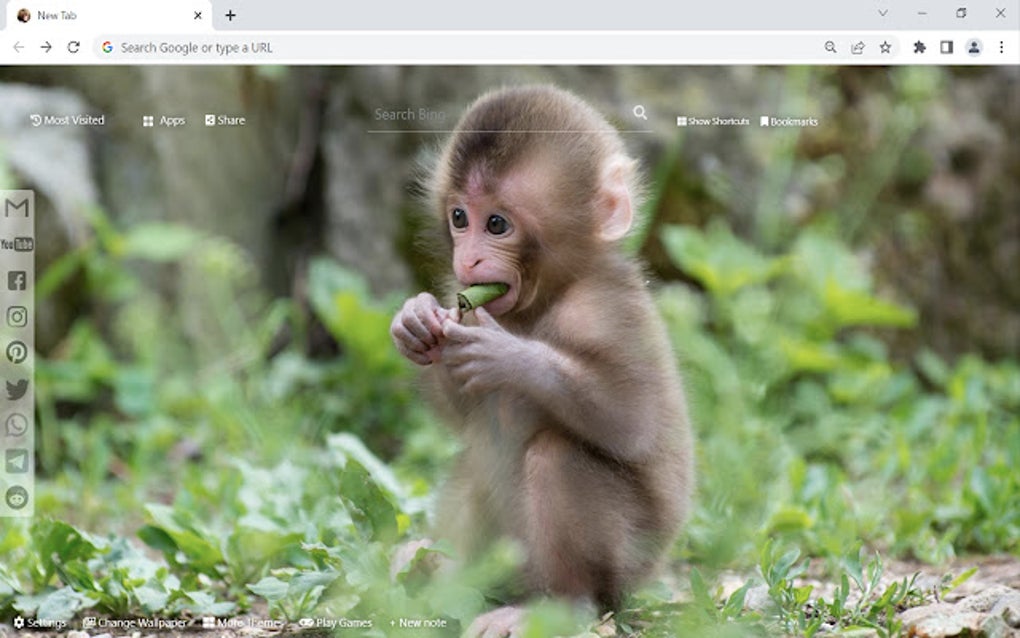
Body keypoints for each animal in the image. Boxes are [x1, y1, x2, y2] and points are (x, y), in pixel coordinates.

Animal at [390, 85, 694, 636]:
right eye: (459, 218)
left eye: (497, 224)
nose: (467, 259)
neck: (549, 294)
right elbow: (463, 408)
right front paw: (417, 321)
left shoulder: (606, 307)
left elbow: (633, 418)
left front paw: (508, 356)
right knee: (477, 455)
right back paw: (437, 570)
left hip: (628, 563)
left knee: (556, 456)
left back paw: (560, 606)